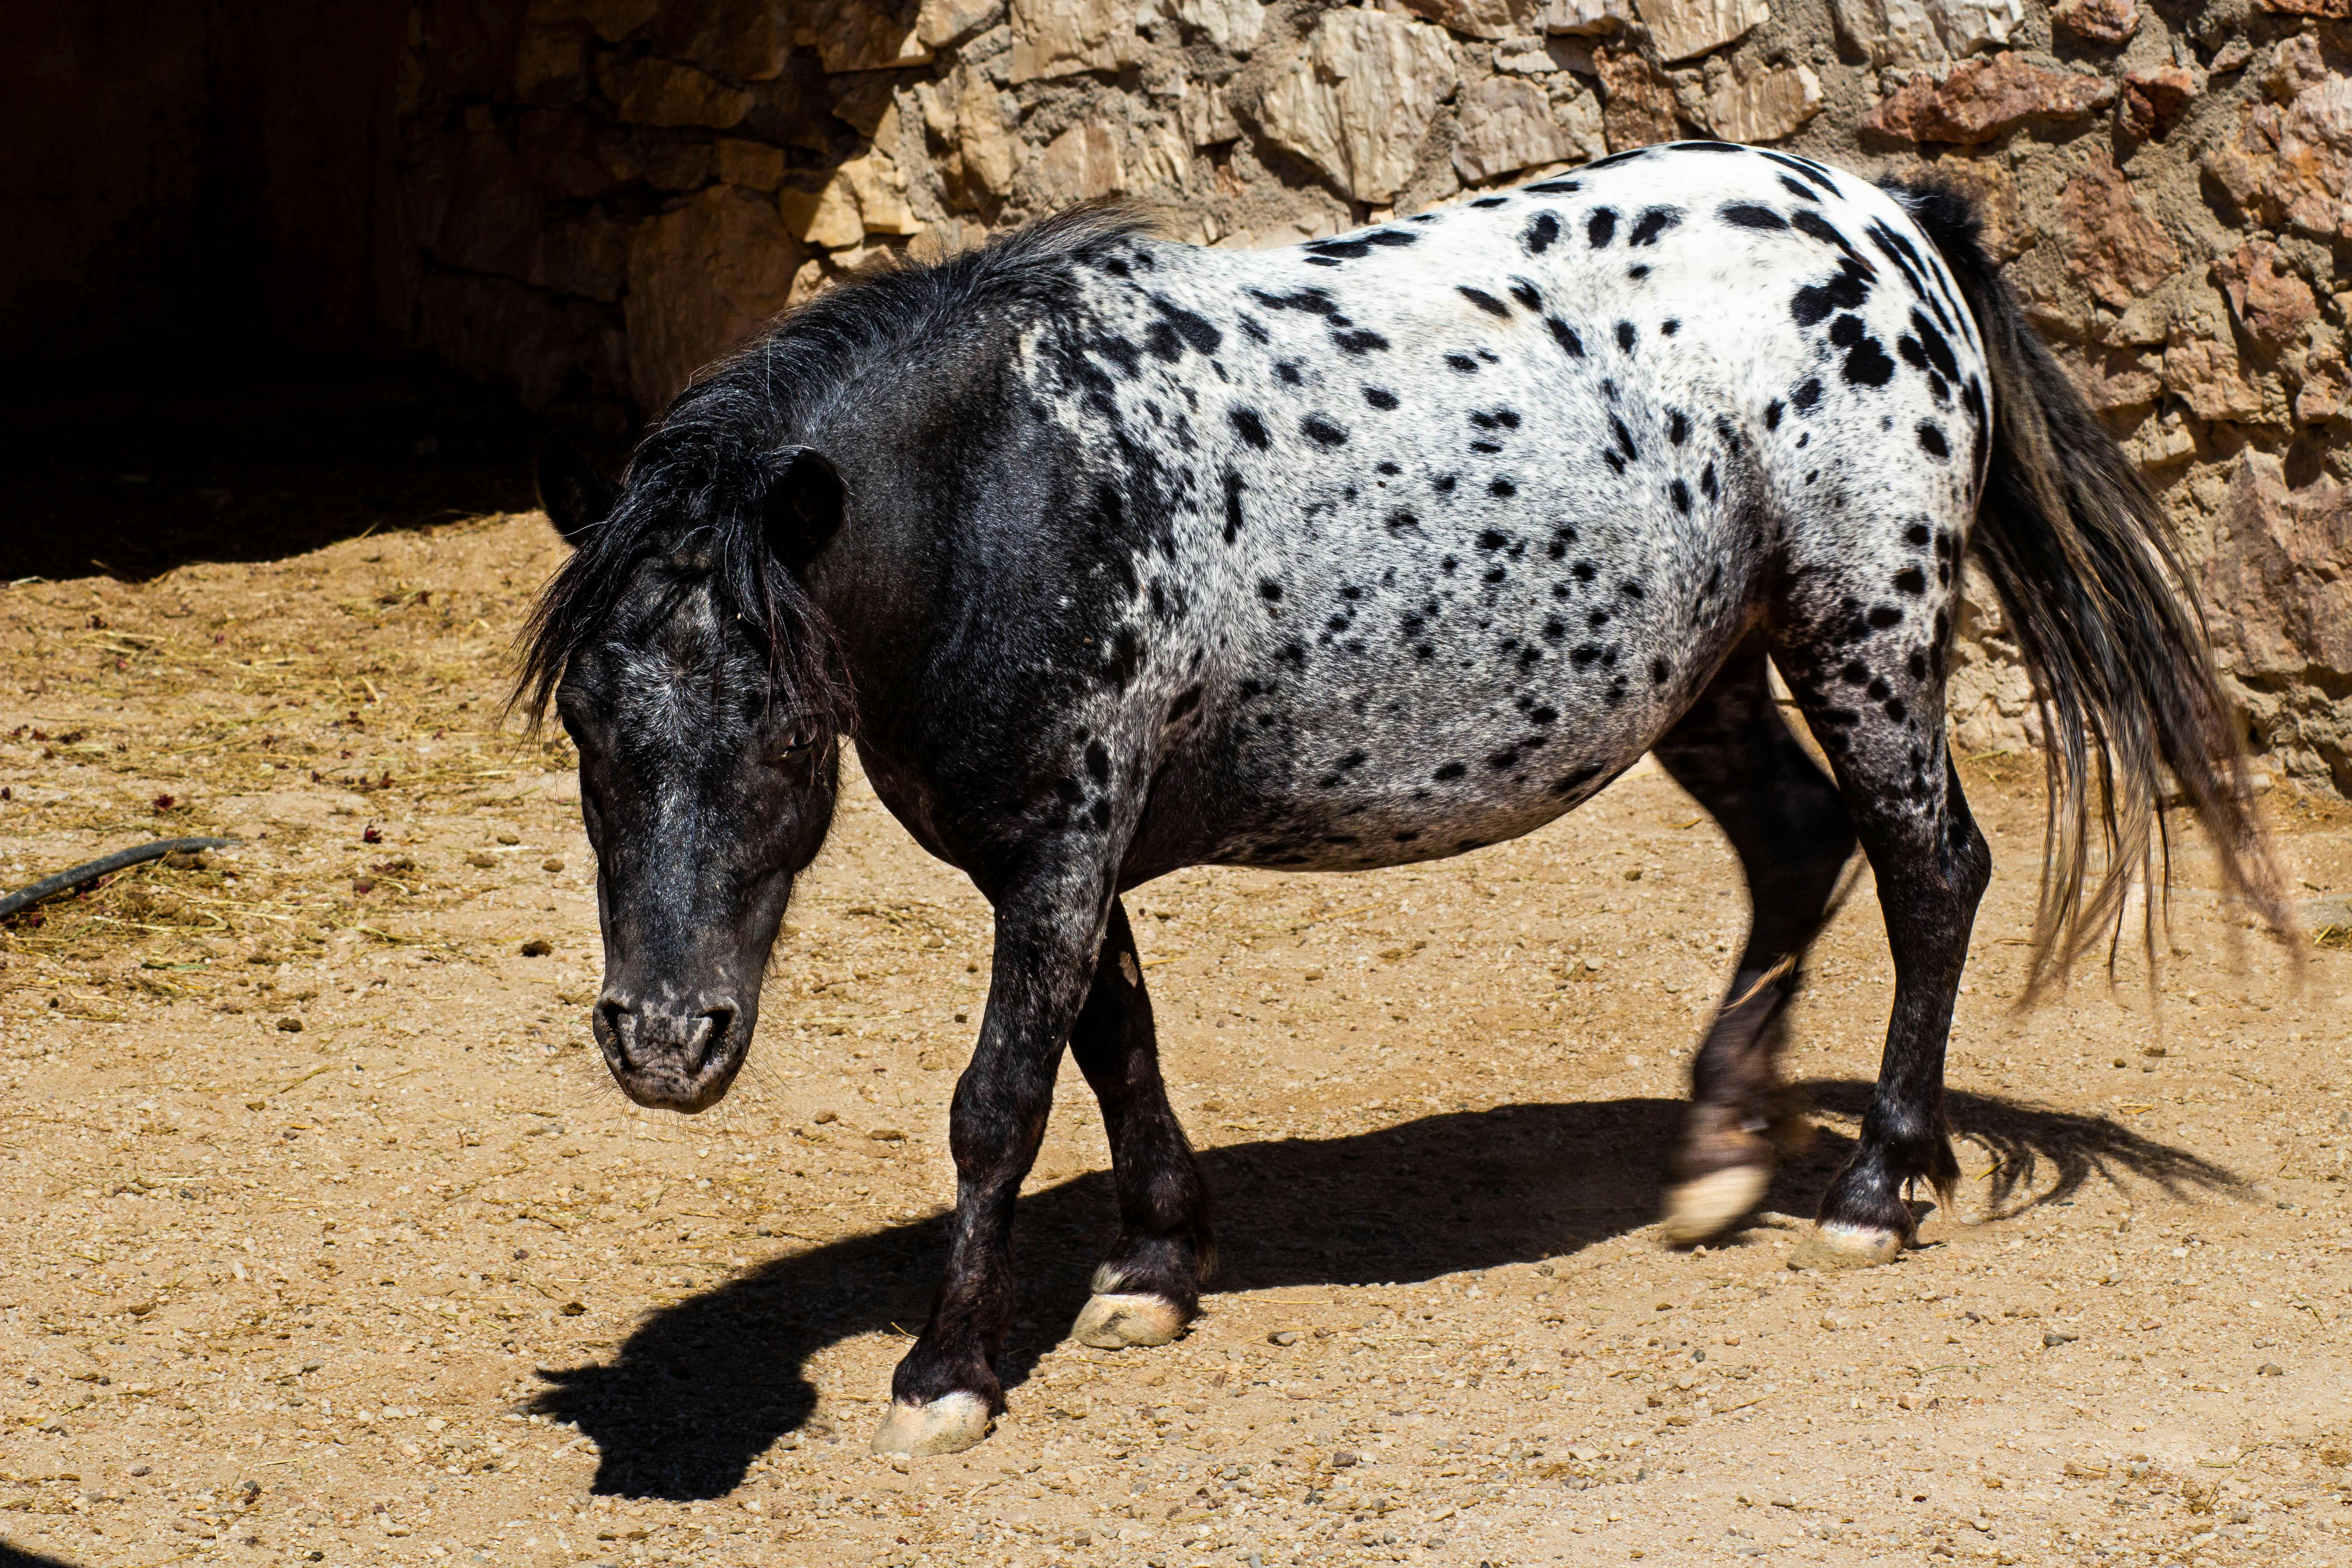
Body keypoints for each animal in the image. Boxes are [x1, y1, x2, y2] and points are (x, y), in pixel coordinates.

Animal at [516, 141, 2286, 1457]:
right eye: (589, 728)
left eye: (782, 734)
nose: (663, 1043)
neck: (1012, 487)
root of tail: (1891, 224)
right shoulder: (1068, 856)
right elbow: (1117, 1045)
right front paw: (1153, 1268)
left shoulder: (1061, 850)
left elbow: (1000, 1097)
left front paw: (948, 1373)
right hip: (1705, 670)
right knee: (1799, 852)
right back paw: (1716, 1156)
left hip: (1864, 638)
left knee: (1933, 872)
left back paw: (1874, 1190)